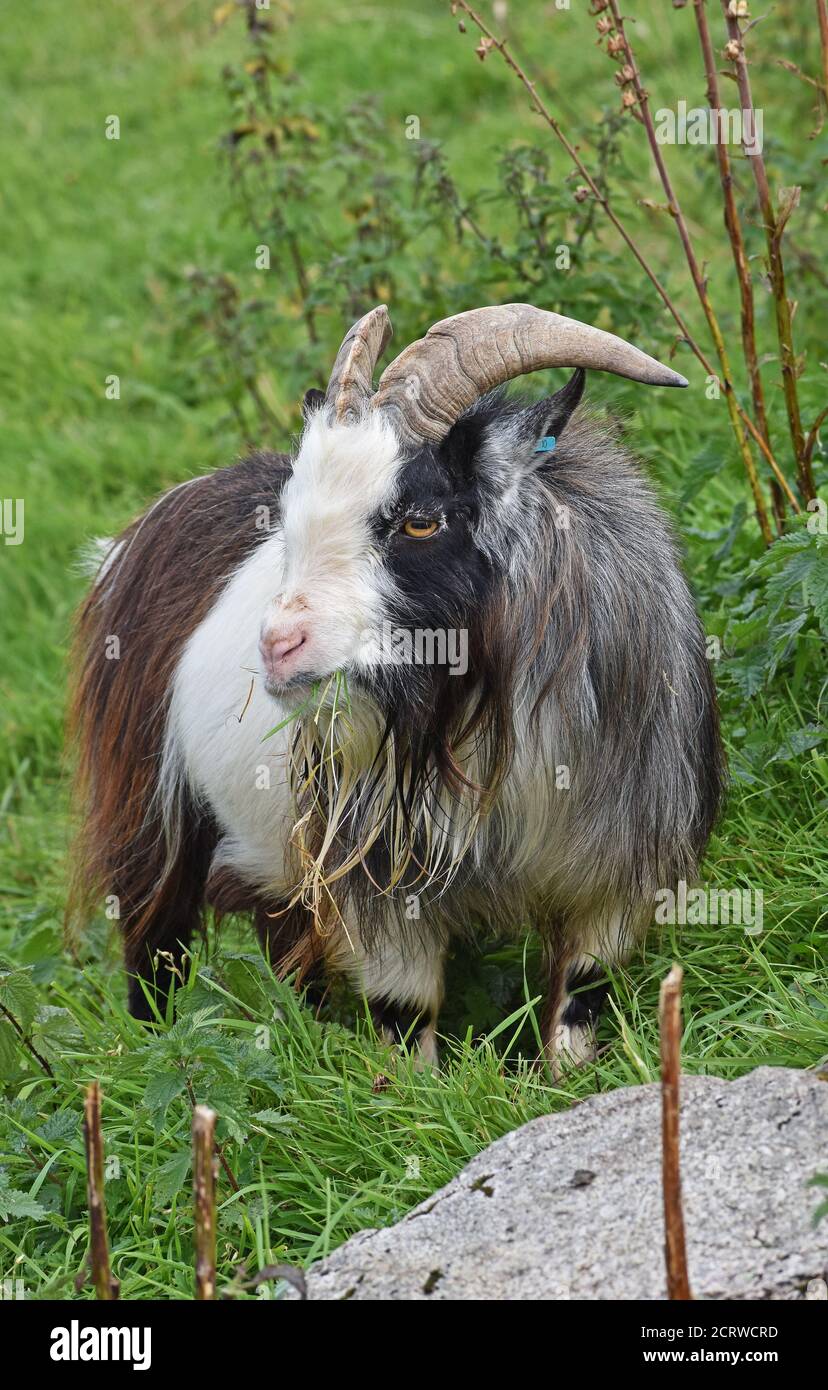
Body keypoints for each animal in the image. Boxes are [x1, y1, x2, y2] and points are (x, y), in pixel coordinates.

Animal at [69, 304, 724, 1067]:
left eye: (420, 519)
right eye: (289, 516)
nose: (277, 645)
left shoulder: (618, 869)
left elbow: (583, 993)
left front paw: (562, 1081)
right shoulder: (376, 879)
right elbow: (406, 1014)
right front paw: (414, 1092)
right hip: (147, 811)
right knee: (153, 942)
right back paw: (155, 1050)